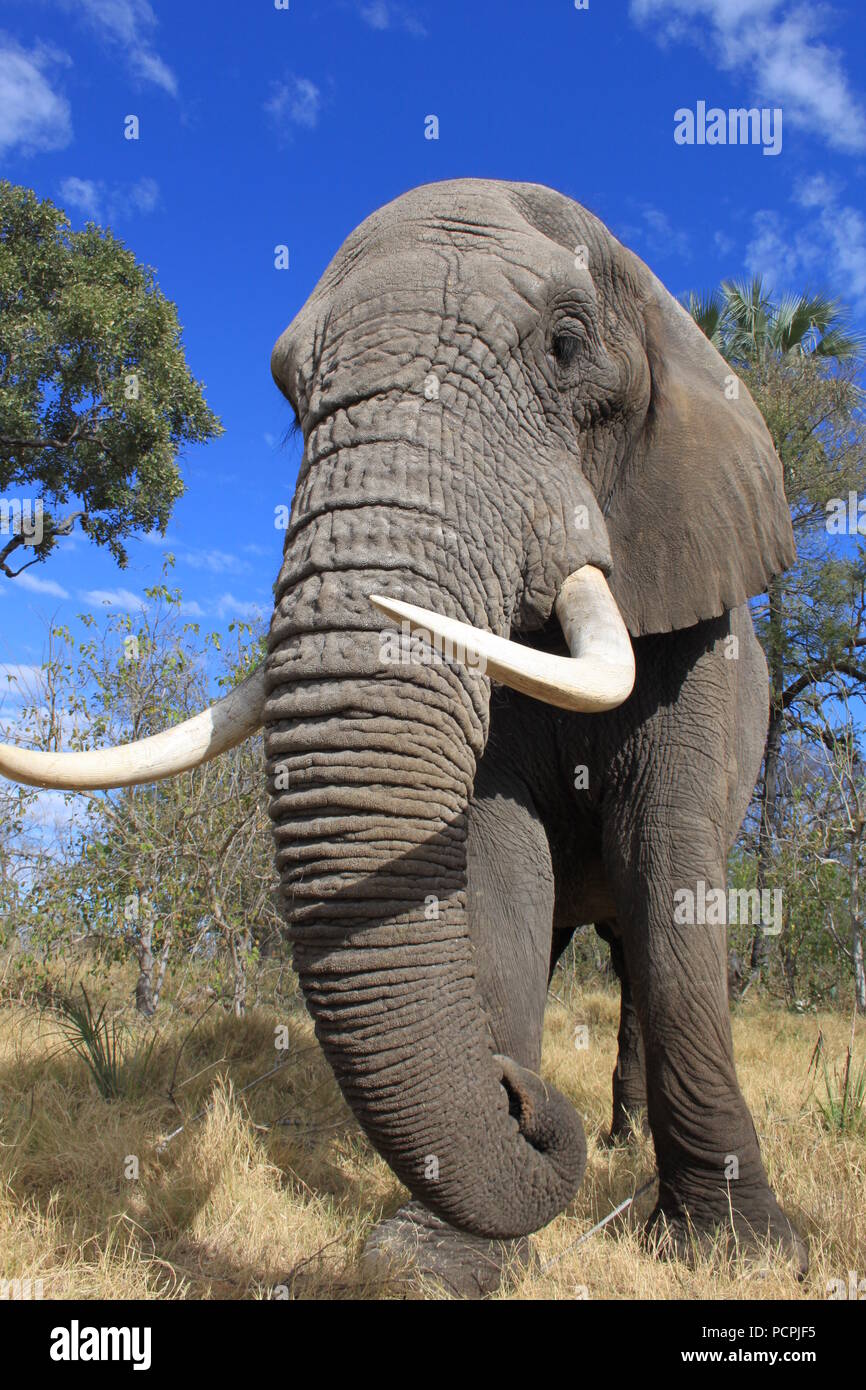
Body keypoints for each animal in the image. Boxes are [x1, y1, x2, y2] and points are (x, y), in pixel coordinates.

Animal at [0, 178, 806, 1293]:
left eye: (566, 345)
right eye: (289, 391)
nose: (514, 1098)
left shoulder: (701, 630)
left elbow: (668, 861)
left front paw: (738, 1249)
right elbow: (498, 860)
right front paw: (435, 1257)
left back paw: (621, 1141)